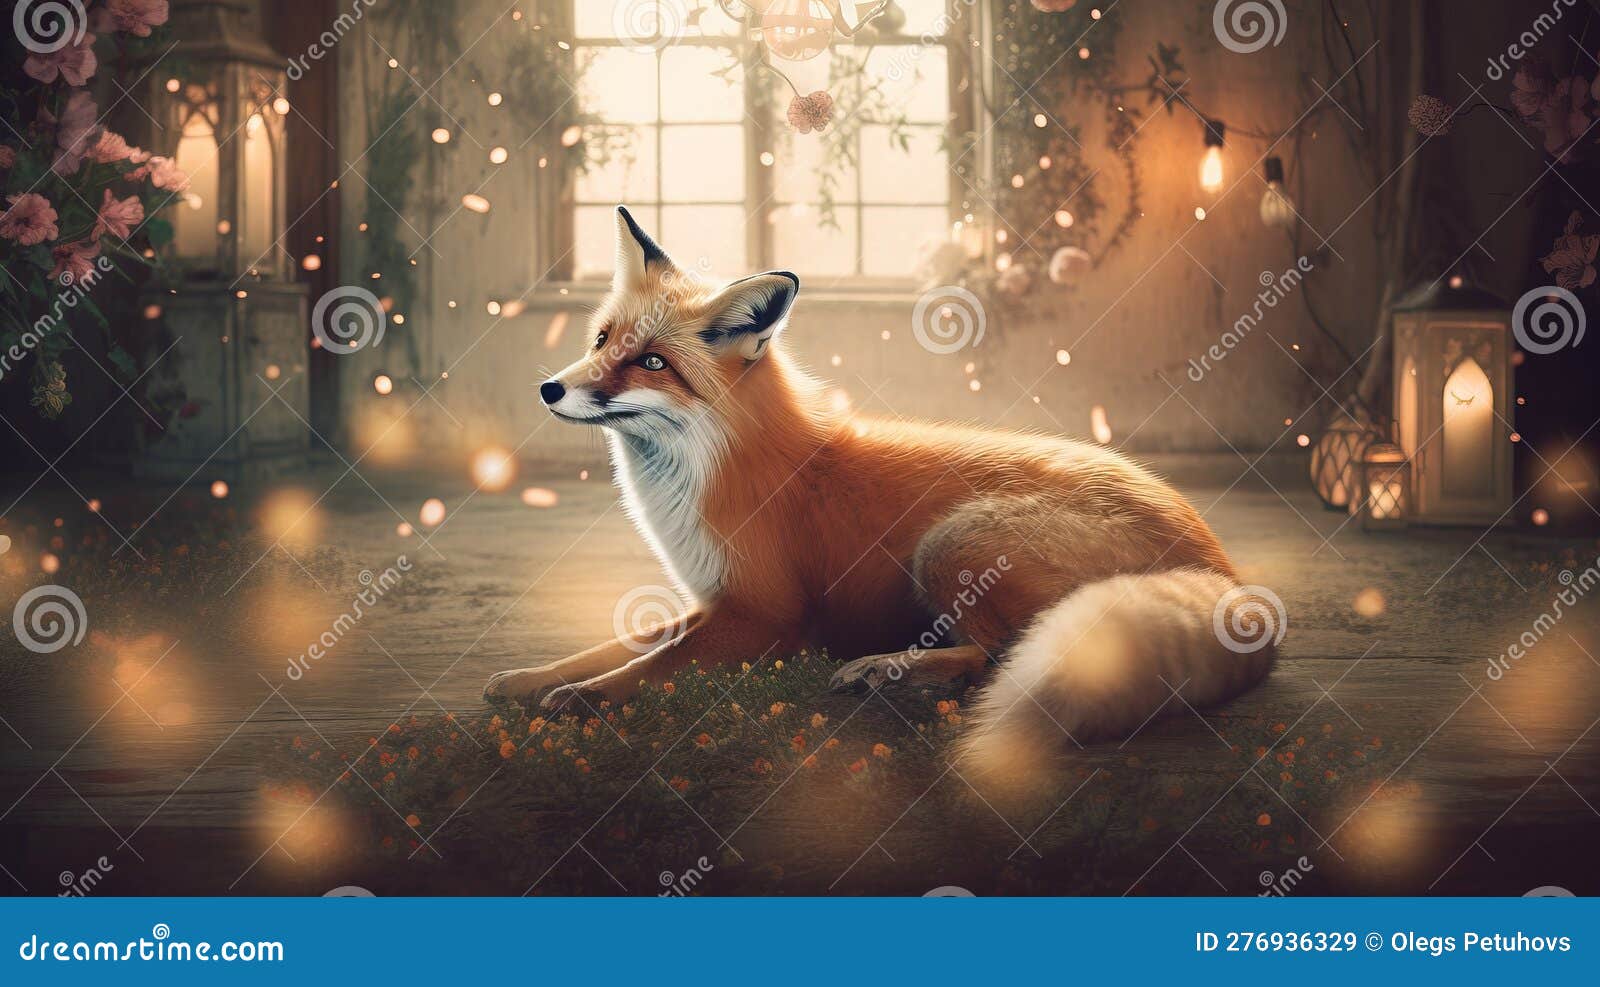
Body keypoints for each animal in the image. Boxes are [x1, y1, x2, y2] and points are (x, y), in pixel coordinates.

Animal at [485, 206, 1278, 774]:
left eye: (651, 362)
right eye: (602, 341)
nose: (549, 389)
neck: (712, 471)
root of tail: (1224, 570)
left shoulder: (765, 618)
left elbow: (646, 669)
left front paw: (582, 700)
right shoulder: (711, 602)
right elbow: (612, 647)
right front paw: (531, 678)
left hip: (953, 542)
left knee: (994, 656)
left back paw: (889, 668)